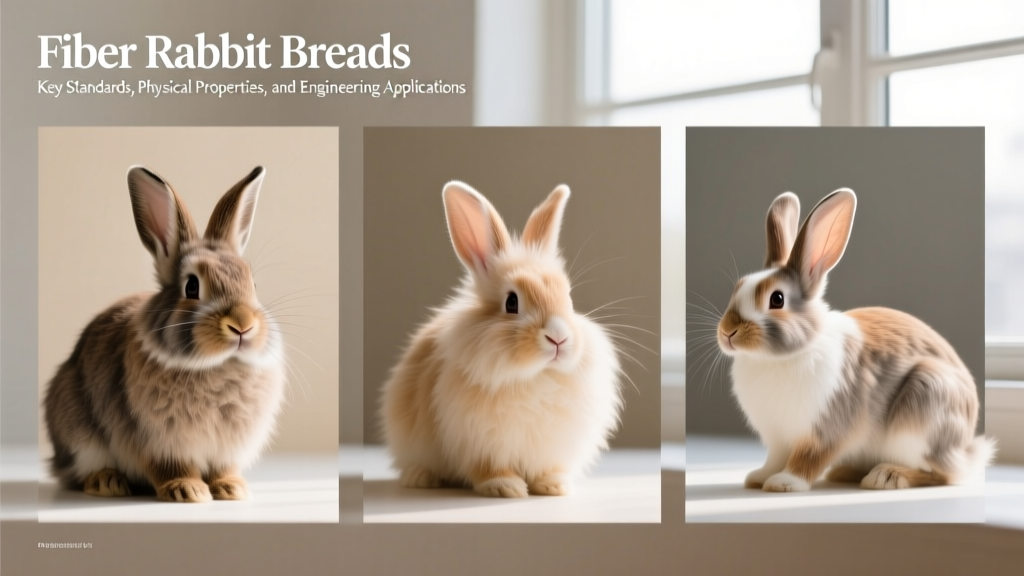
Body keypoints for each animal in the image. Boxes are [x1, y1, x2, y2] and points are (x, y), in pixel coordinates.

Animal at [43, 165, 286, 503]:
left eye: (252, 285)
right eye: (192, 286)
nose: (242, 324)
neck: (217, 365)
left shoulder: (225, 449)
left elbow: (223, 468)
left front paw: (232, 488)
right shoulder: (157, 441)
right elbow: (170, 468)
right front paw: (188, 490)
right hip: (78, 433)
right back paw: (107, 482)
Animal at [380, 181, 623, 498]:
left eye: (569, 299)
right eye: (511, 302)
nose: (558, 338)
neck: (534, 376)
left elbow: (547, 468)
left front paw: (555, 485)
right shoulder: (479, 443)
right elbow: (489, 469)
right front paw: (505, 487)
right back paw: (420, 478)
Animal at [717, 188, 994, 492]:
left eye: (776, 299)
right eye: (738, 288)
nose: (727, 332)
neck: (782, 357)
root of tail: (965, 449)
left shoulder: (827, 428)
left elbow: (808, 458)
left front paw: (784, 483)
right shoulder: (779, 439)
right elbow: (775, 459)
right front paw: (759, 478)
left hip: (926, 403)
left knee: (942, 474)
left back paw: (885, 477)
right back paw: (845, 472)